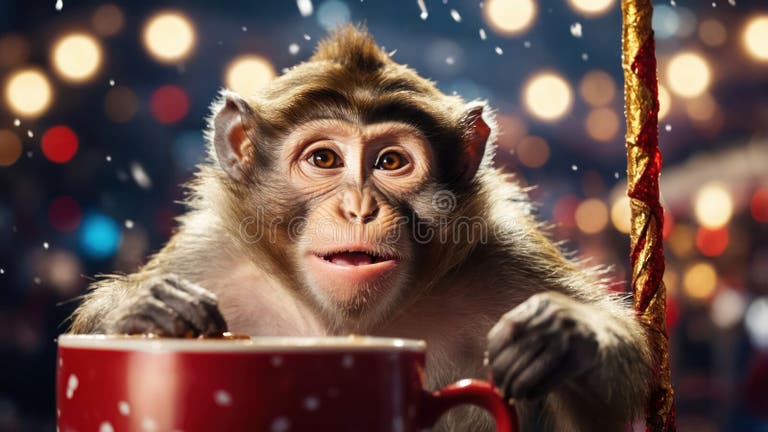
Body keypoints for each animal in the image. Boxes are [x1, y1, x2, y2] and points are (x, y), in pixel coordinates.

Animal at [69, 25, 652, 431]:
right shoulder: (209, 256)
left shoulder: (504, 260)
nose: (360, 207)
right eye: (324, 158)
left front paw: (565, 335)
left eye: (391, 162)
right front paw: (144, 309)